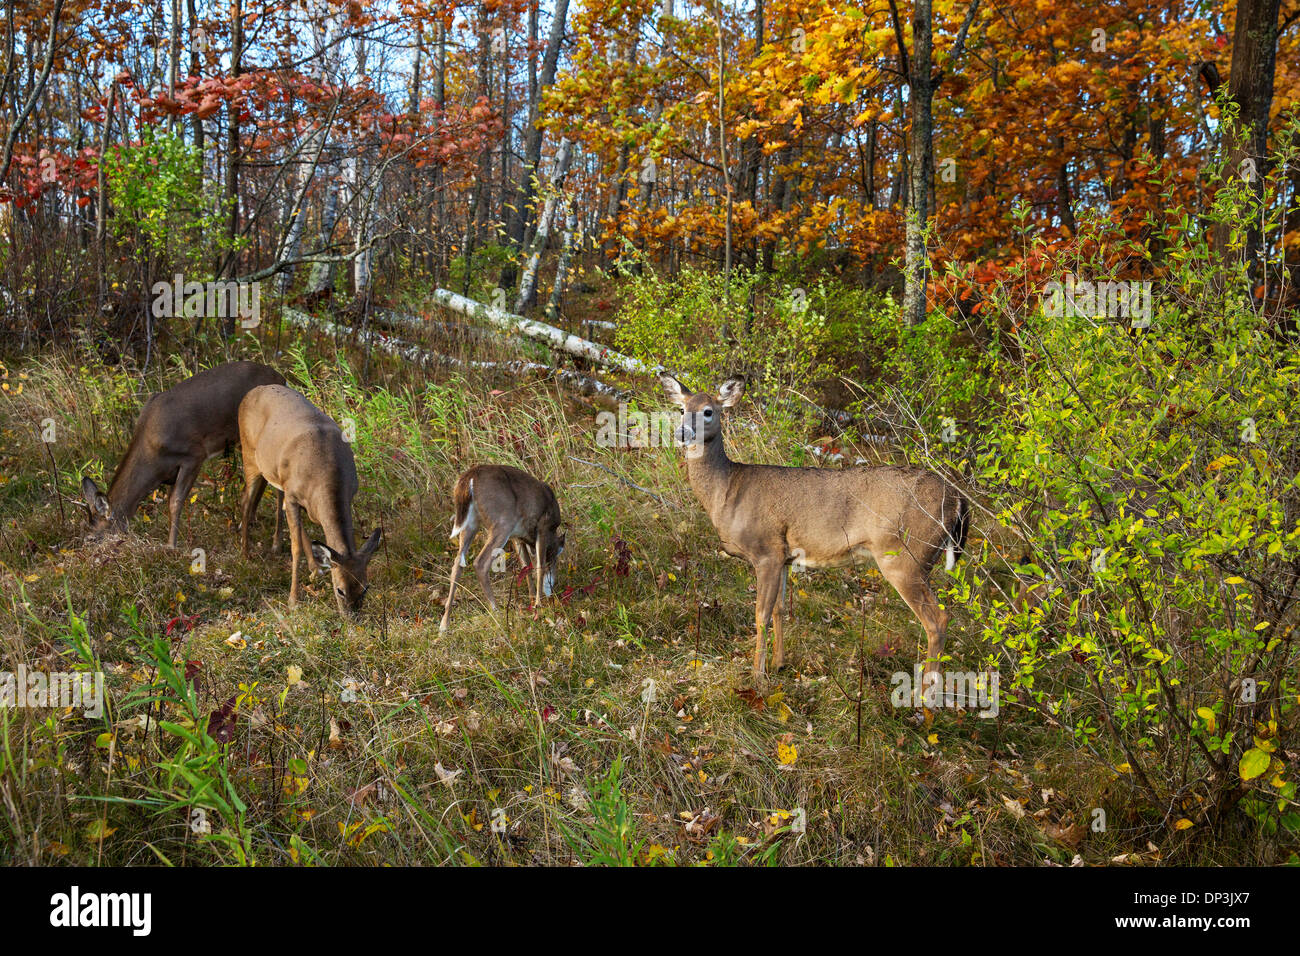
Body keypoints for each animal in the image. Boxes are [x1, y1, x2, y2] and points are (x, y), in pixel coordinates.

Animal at [80, 361, 285, 547]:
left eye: (94, 538)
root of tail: (281, 378)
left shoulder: (193, 455)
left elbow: (175, 501)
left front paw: (171, 545)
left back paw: (275, 541)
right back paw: (248, 522)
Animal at [238, 384, 382, 616]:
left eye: (365, 587)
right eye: (339, 590)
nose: (352, 618)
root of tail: (253, 391)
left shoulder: (346, 494)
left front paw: (314, 569)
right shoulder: (294, 495)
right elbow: (295, 547)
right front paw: (293, 600)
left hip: (277, 474)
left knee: (279, 500)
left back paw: (295, 556)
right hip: (249, 455)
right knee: (246, 500)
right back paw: (246, 554)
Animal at [439, 464, 564, 634]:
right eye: (555, 560)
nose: (551, 589)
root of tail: (470, 477)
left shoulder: (517, 536)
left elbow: (526, 566)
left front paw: (532, 600)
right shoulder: (543, 526)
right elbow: (539, 566)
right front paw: (539, 606)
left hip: (471, 523)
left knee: (457, 562)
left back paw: (444, 624)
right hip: (502, 522)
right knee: (480, 562)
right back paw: (496, 611)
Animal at [662, 375, 969, 682]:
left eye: (708, 411)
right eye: (682, 409)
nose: (681, 433)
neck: (727, 491)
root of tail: (956, 497)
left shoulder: (766, 550)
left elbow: (761, 615)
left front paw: (758, 676)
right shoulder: (784, 555)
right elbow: (780, 609)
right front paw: (779, 664)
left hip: (905, 556)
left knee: (938, 620)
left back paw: (926, 690)